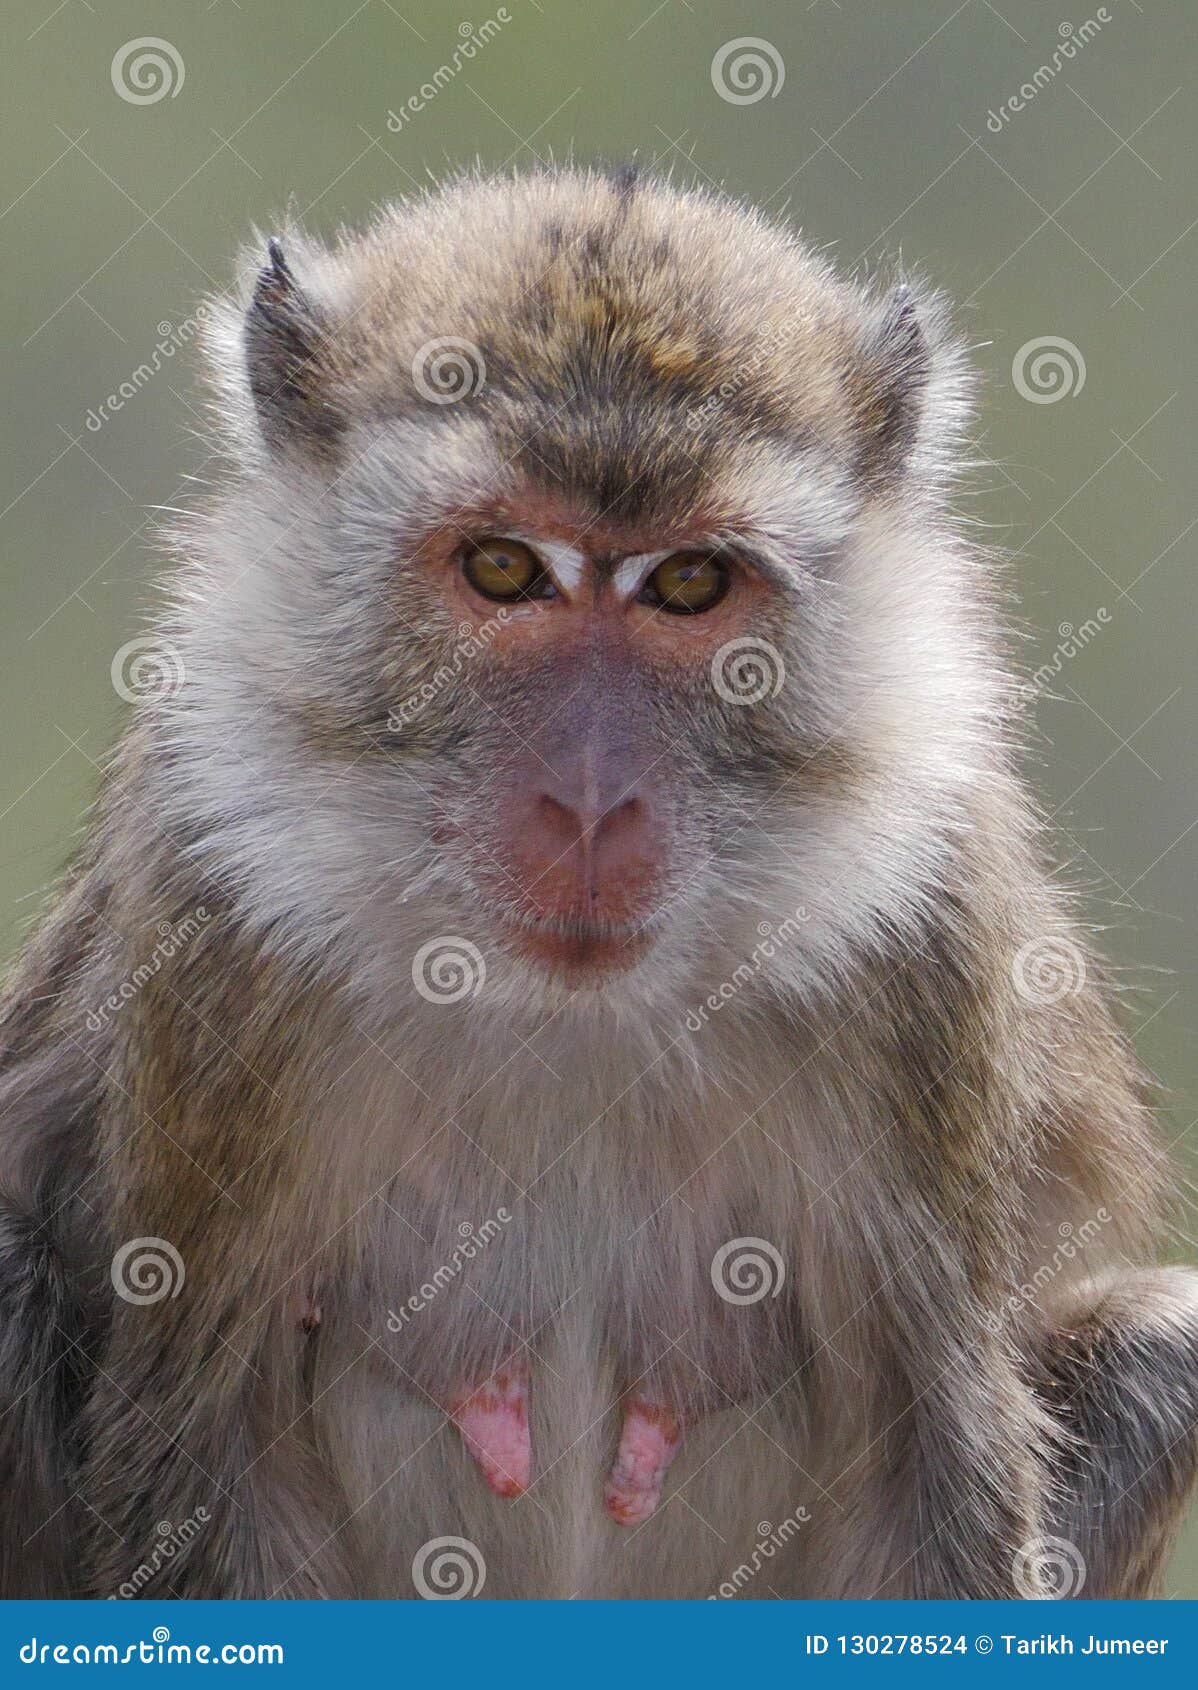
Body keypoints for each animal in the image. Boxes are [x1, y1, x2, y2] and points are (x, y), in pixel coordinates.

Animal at [1, 163, 1196, 1601]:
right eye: (505, 568)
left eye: (687, 581)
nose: (586, 799)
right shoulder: (217, 930)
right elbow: (198, 1459)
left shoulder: (924, 936)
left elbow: (927, 1487)